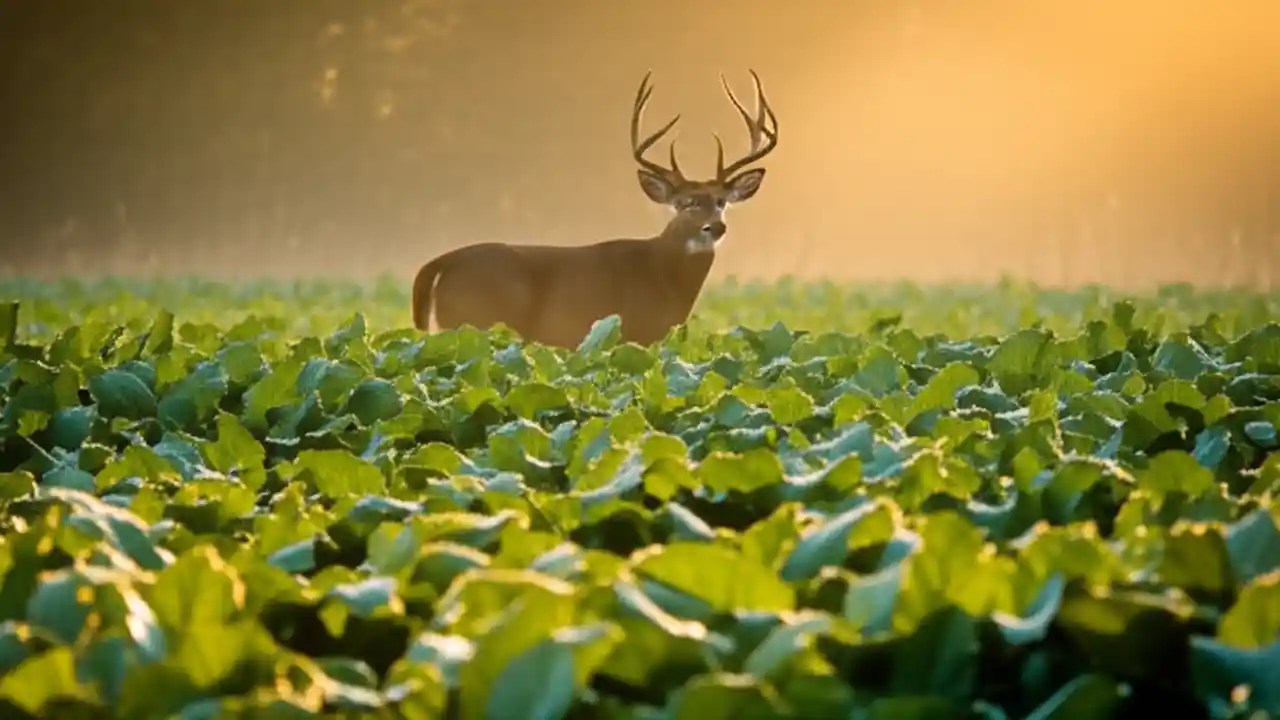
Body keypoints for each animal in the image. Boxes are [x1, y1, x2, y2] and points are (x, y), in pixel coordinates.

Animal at [411, 69, 779, 349]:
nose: (715, 227)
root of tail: (441, 263)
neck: (664, 279)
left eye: (721, 202)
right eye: (684, 203)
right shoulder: (635, 334)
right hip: (474, 322)